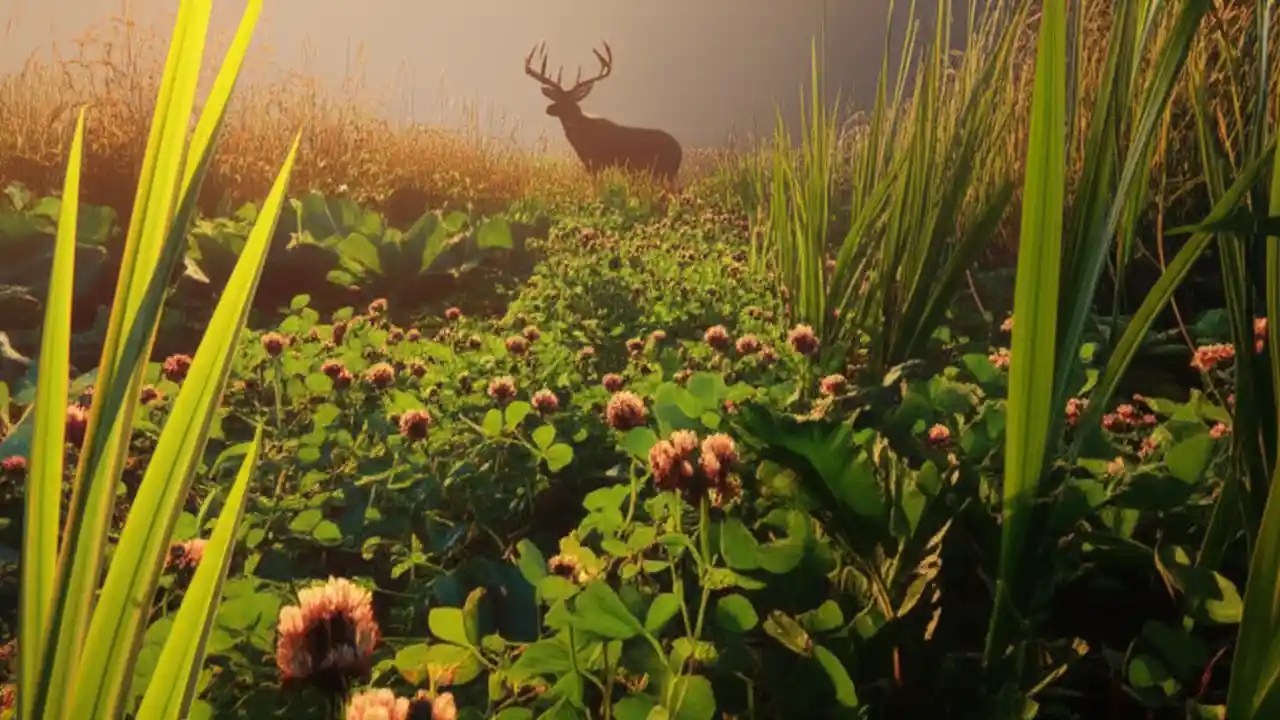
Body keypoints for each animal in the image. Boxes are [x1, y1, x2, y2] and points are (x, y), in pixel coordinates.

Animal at [524, 41, 683, 184]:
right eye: (559, 101)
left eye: (573, 104)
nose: (570, 123)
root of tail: (679, 151)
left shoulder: (598, 163)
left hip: (664, 172)